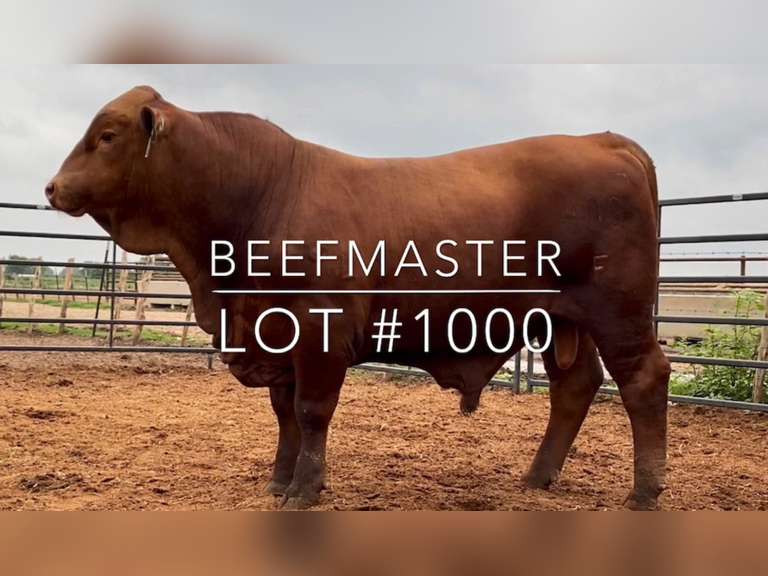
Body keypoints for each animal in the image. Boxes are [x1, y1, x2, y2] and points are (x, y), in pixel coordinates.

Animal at [46, 85, 670, 510]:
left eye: (107, 136)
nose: (52, 187)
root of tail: (604, 140)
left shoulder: (320, 331)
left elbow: (311, 411)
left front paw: (304, 488)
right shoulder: (278, 338)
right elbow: (285, 415)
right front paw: (280, 479)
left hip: (618, 311)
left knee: (643, 379)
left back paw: (645, 490)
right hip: (558, 319)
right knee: (575, 385)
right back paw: (537, 477)